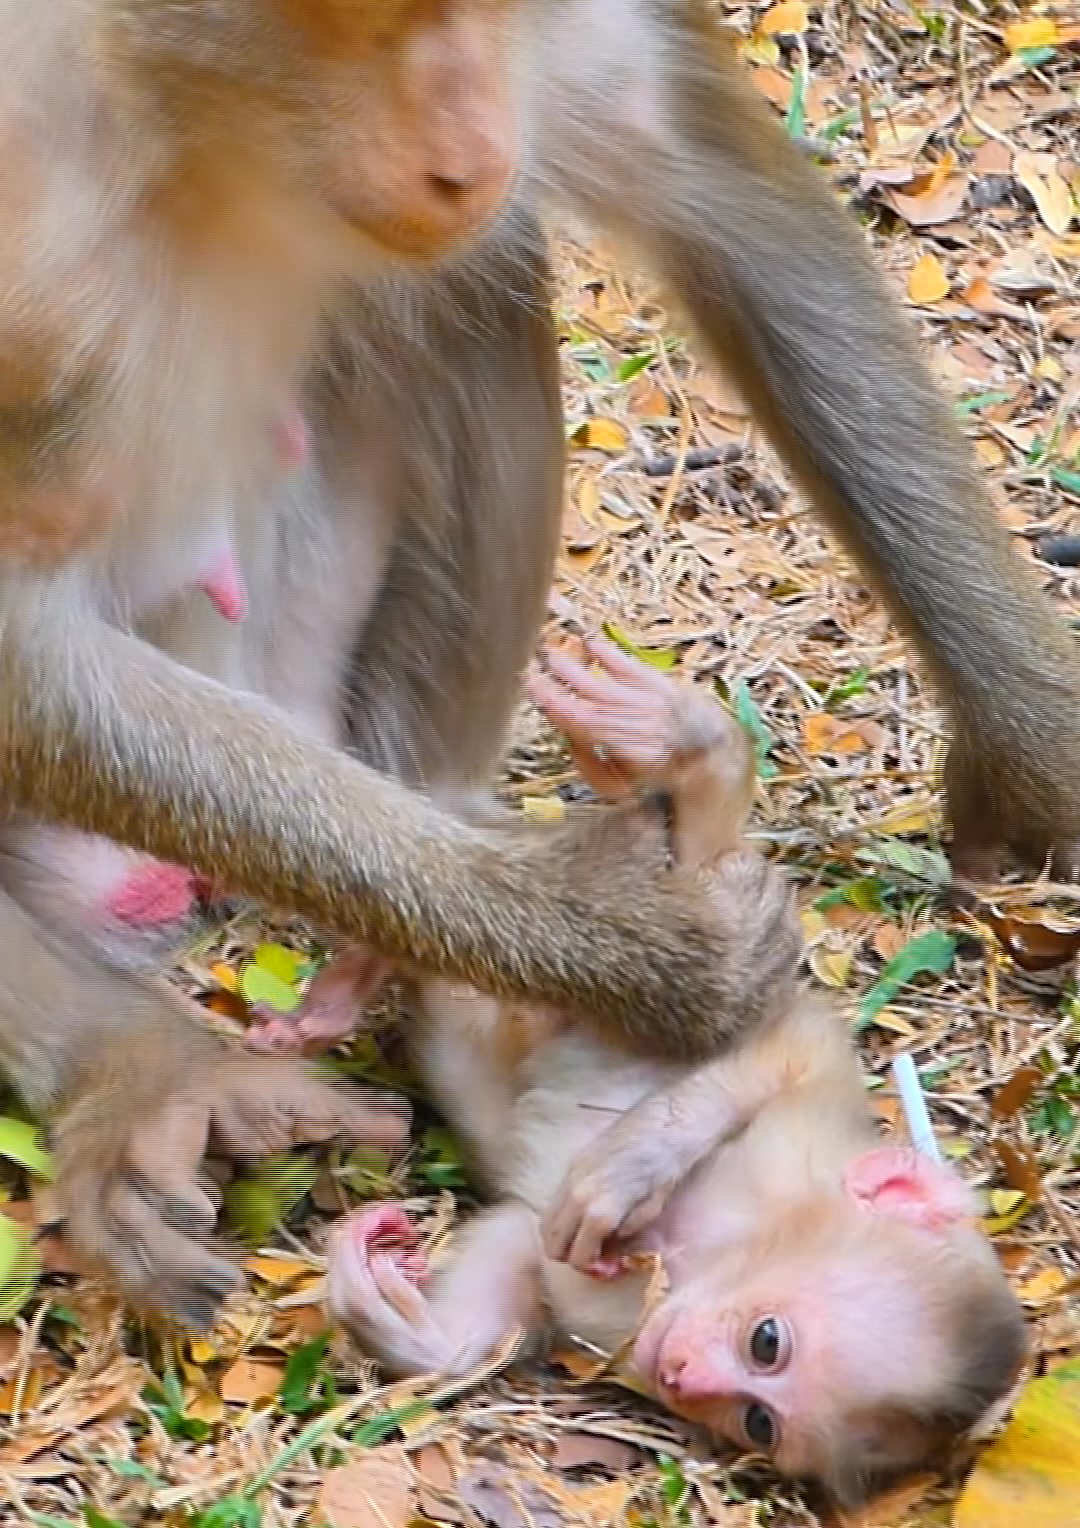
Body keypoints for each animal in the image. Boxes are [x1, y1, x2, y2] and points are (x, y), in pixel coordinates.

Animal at [0, 0, 1078, 1332]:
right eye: (349, 26)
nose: (469, 157)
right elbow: (20, 643)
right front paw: (628, 944)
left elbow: (684, 151)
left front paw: (1038, 756)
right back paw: (146, 1075)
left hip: (299, 662)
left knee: (477, 272)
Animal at [327, 639, 1027, 1506]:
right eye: (768, 1341)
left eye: (758, 1421)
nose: (685, 1377)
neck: (715, 1251)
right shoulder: (804, 1134)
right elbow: (785, 1041)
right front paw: (632, 1167)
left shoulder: (617, 1315)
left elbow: (511, 1257)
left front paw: (394, 1314)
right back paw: (696, 757)